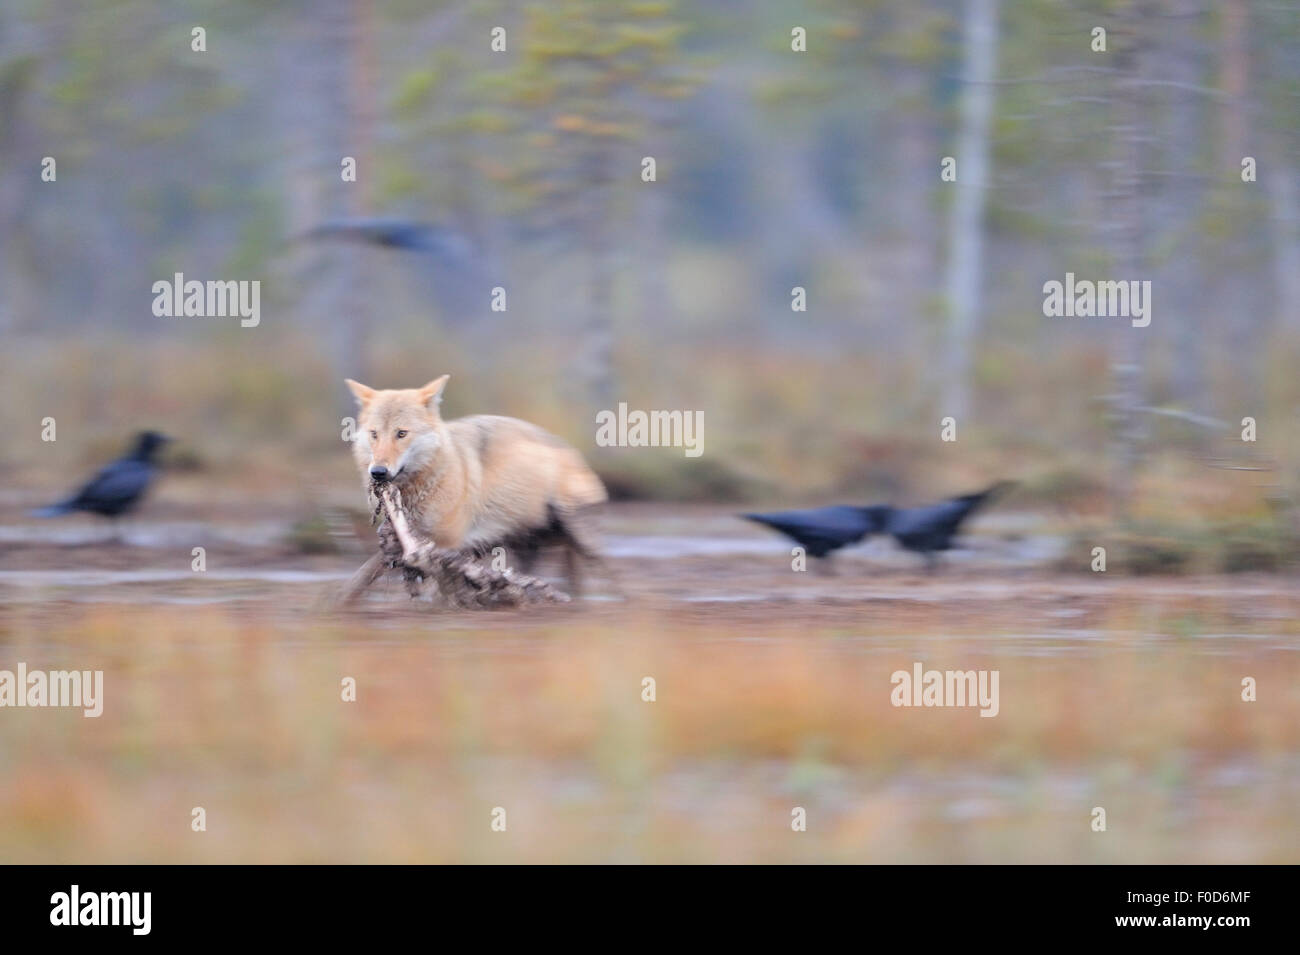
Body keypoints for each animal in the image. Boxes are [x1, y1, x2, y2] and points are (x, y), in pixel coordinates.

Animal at [344, 375, 608, 595]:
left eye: (401, 433)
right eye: (374, 434)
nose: (378, 472)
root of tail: (575, 452)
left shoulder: (443, 546)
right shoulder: (403, 546)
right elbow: (358, 579)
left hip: (575, 534)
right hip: (528, 543)